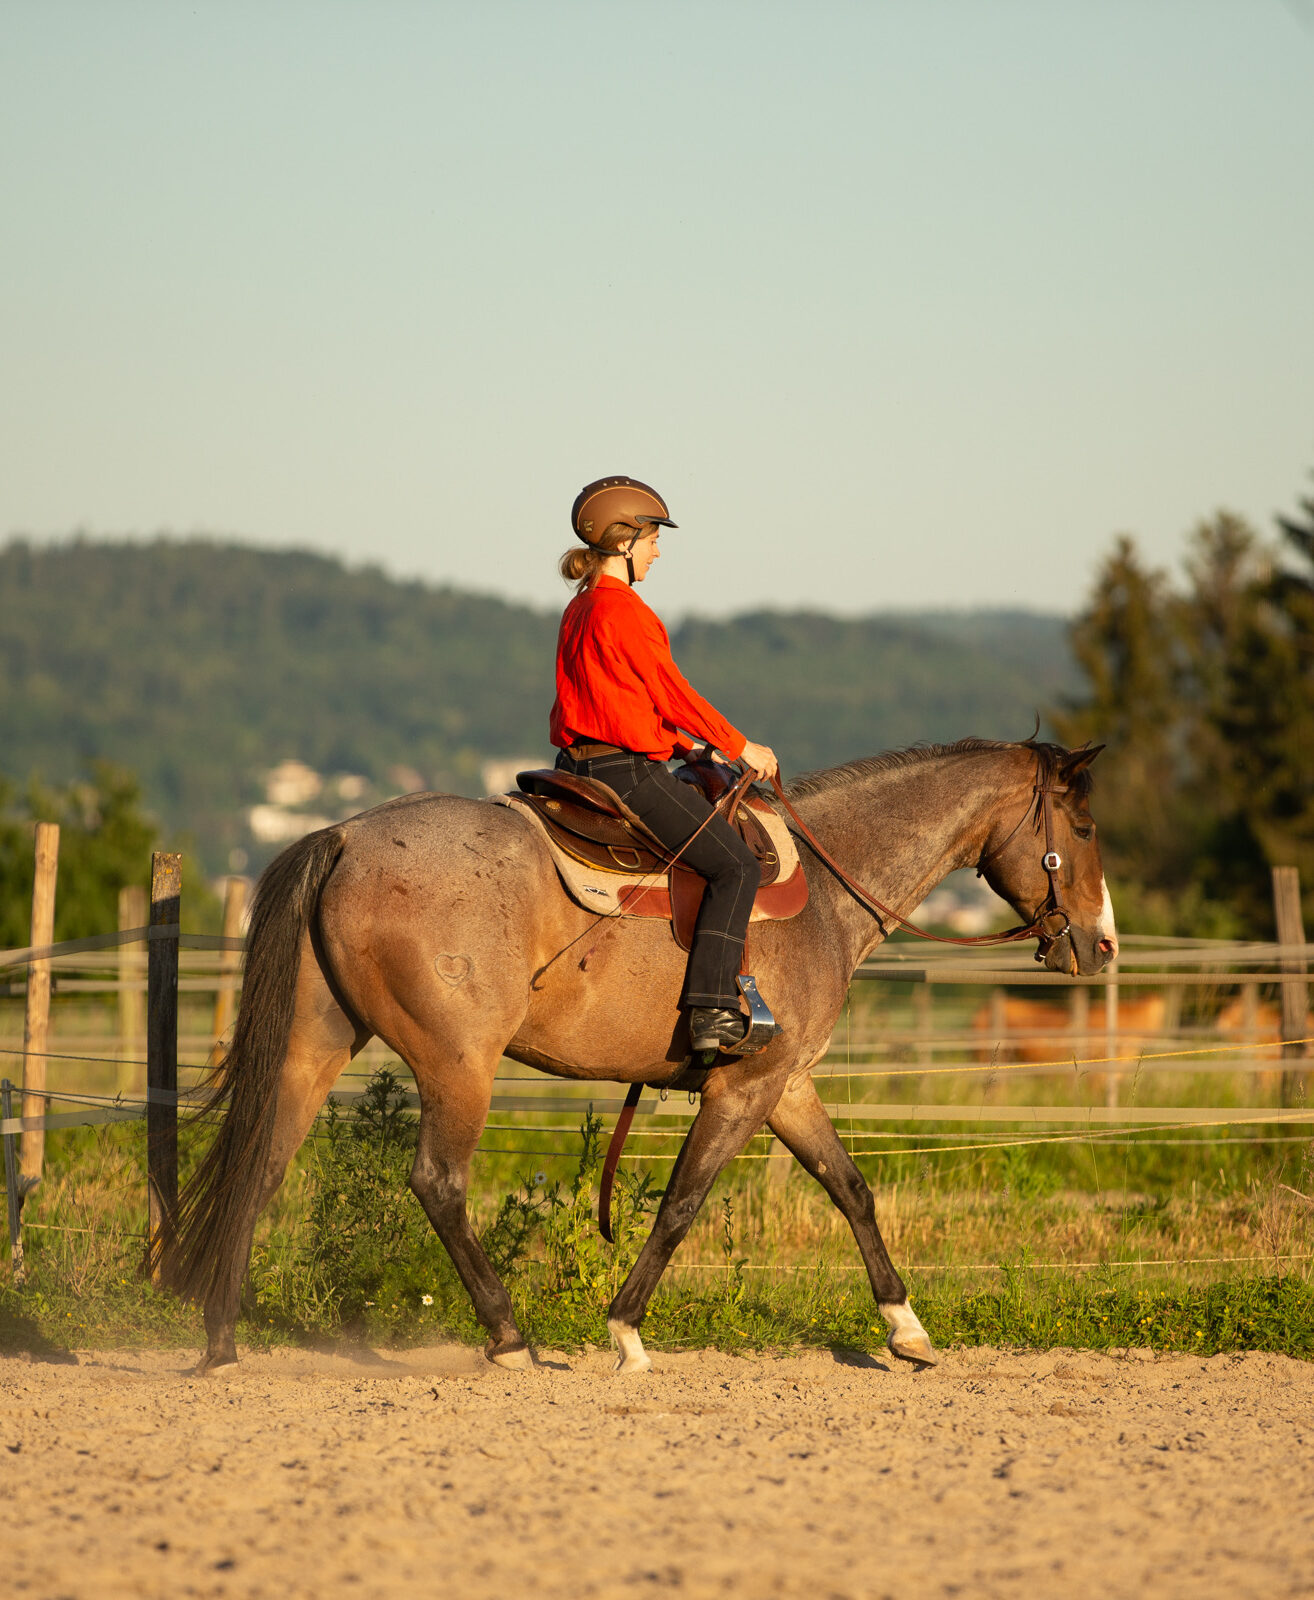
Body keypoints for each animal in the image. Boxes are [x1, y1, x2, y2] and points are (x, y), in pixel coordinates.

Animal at [162, 738, 1116, 1374]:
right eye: (1083, 824)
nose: (1102, 945)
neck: (825, 895)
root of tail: (349, 837)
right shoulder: (743, 1090)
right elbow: (682, 1206)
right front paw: (625, 1332)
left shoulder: (787, 1085)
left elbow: (851, 1189)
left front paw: (906, 1329)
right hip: (458, 1065)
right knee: (438, 1183)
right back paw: (512, 1340)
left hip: (314, 1047)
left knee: (261, 1165)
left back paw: (220, 1340)